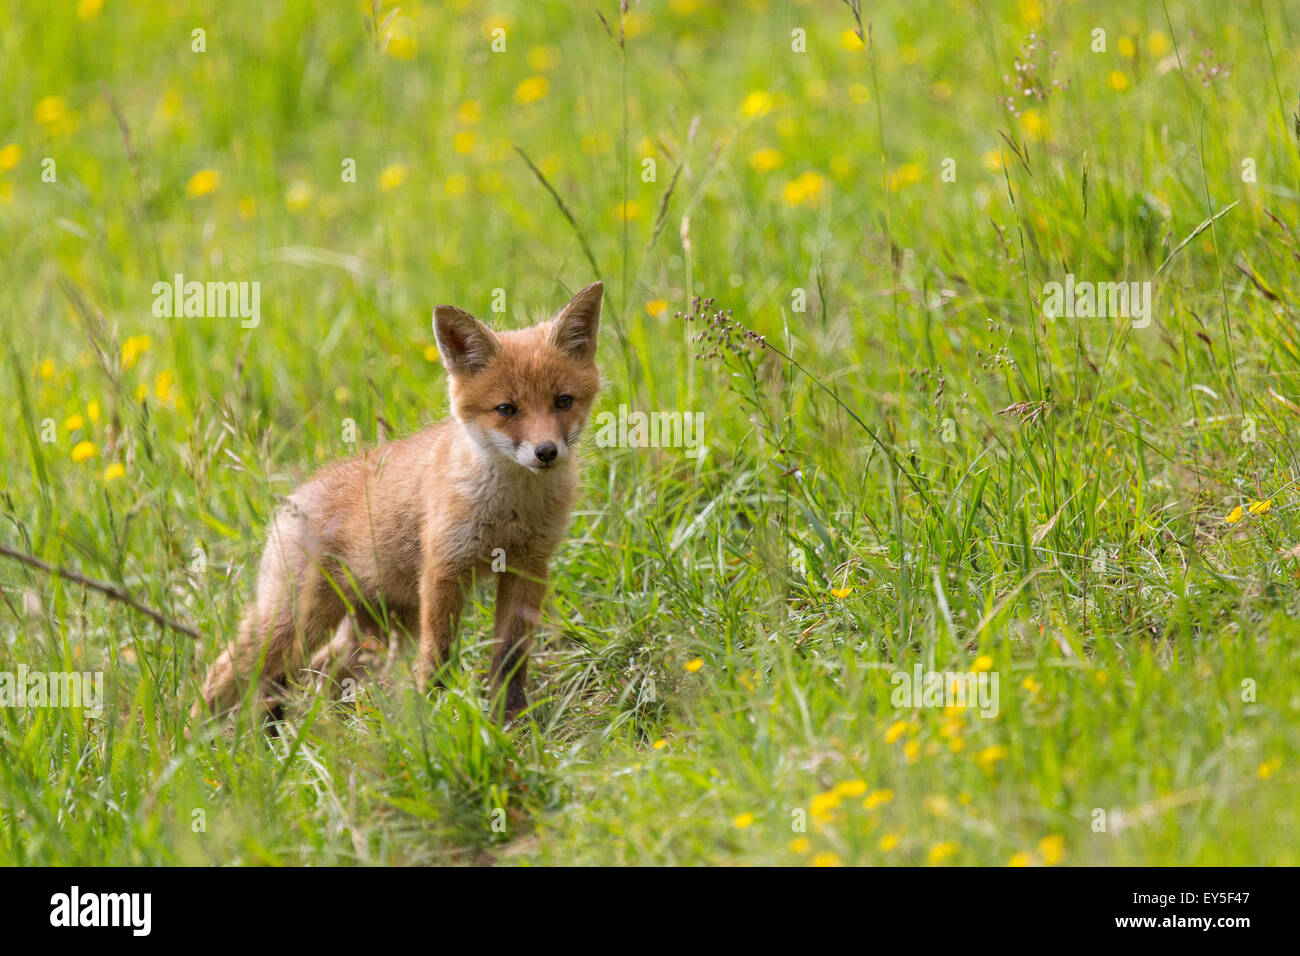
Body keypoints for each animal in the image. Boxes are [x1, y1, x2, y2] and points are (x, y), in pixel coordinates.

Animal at [195, 281, 604, 724]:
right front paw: (438, 712)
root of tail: (295, 494)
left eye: (563, 401)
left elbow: (510, 659)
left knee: (322, 669)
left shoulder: (528, 566)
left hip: (382, 626)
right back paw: (194, 736)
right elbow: (438, 653)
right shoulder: (444, 569)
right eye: (506, 409)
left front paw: (509, 719)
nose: (546, 452)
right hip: (298, 620)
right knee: (224, 674)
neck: (511, 507)